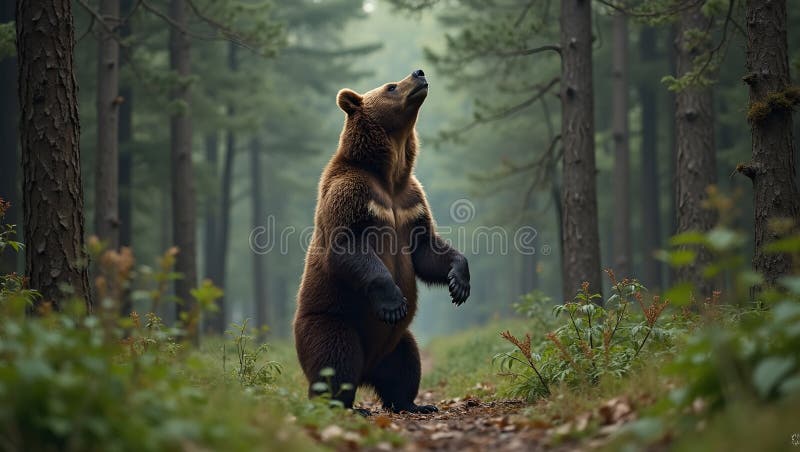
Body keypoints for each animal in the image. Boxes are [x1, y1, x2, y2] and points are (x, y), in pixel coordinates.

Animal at [293, 69, 470, 415]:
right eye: (391, 86)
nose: (419, 72)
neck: (389, 174)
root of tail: (367, 370)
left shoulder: (409, 201)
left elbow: (427, 249)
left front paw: (459, 283)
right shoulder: (354, 194)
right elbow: (347, 244)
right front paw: (393, 301)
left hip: (396, 342)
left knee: (406, 364)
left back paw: (413, 404)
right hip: (330, 321)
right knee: (335, 359)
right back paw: (346, 404)